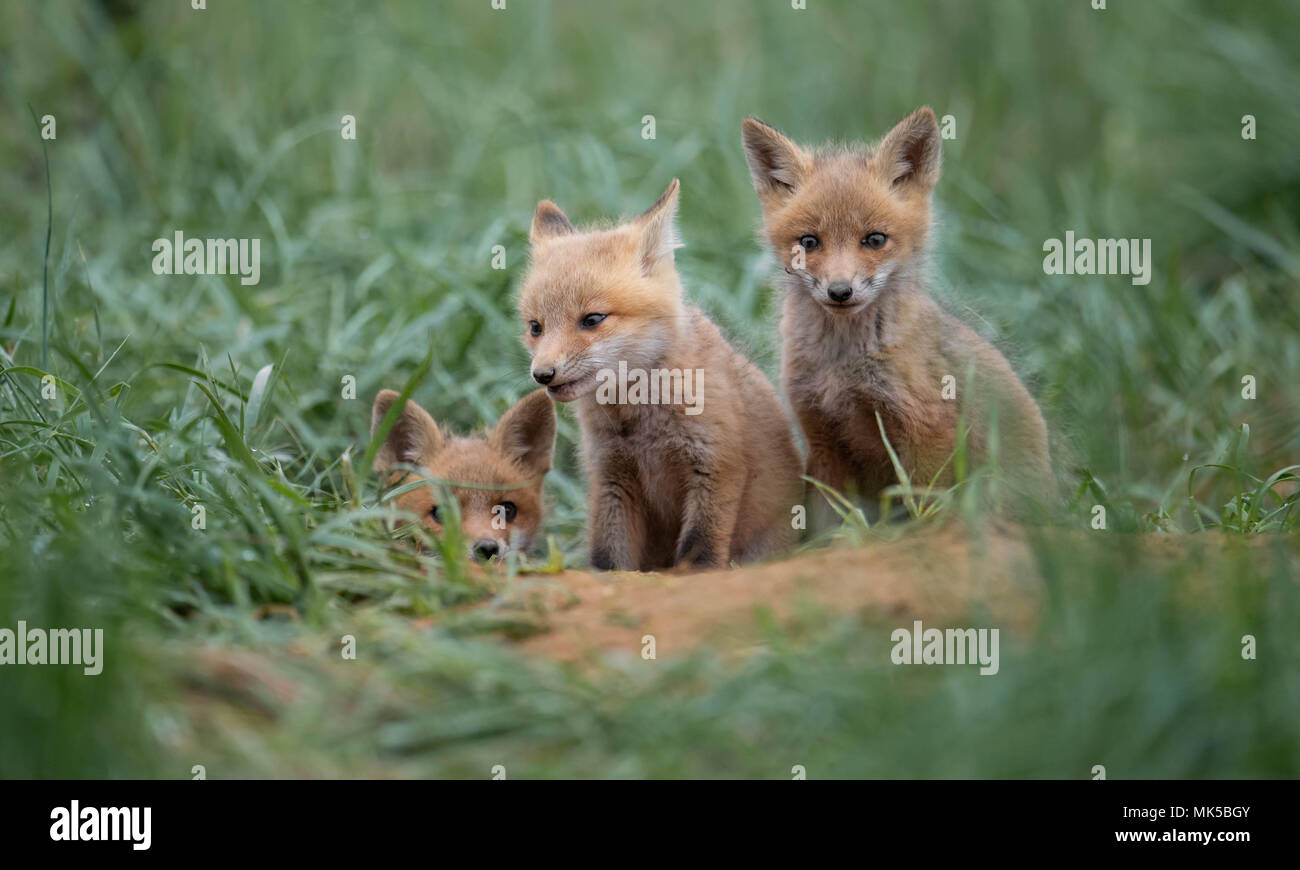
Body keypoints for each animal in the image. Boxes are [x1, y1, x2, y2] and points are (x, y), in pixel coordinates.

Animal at [518, 178, 803, 571]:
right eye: (535, 327)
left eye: (592, 319)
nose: (542, 374)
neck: (638, 423)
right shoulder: (610, 475)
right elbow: (609, 557)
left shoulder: (716, 463)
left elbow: (700, 549)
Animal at [740, 107, 1052, 516]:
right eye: (808, 242)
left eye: (874, 239)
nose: (840, 291)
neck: (841, 367)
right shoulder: (821, 437)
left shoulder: (928, 429)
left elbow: (927, 511)